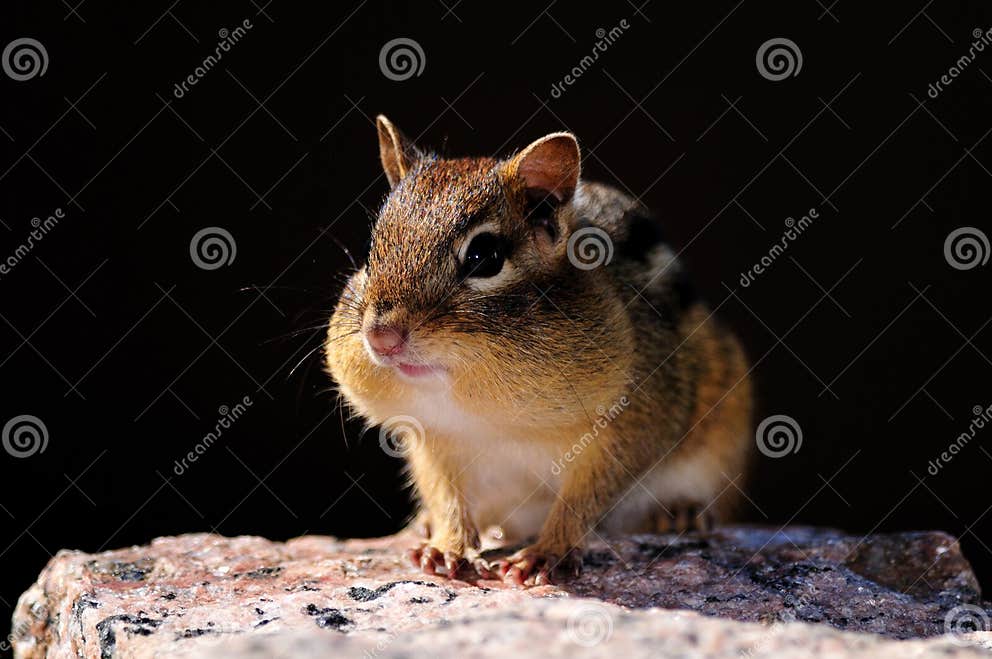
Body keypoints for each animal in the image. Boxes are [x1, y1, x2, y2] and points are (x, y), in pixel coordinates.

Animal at [325, 115, 753, 586]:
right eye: (372, 251)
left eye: (484, 256)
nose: (382, 337)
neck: (481, 411)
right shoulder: (433, 437)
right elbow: (446, 495)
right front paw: (447, 546)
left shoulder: (633, 421)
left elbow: (583, 497)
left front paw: (547, 553)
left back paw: (681, 513)